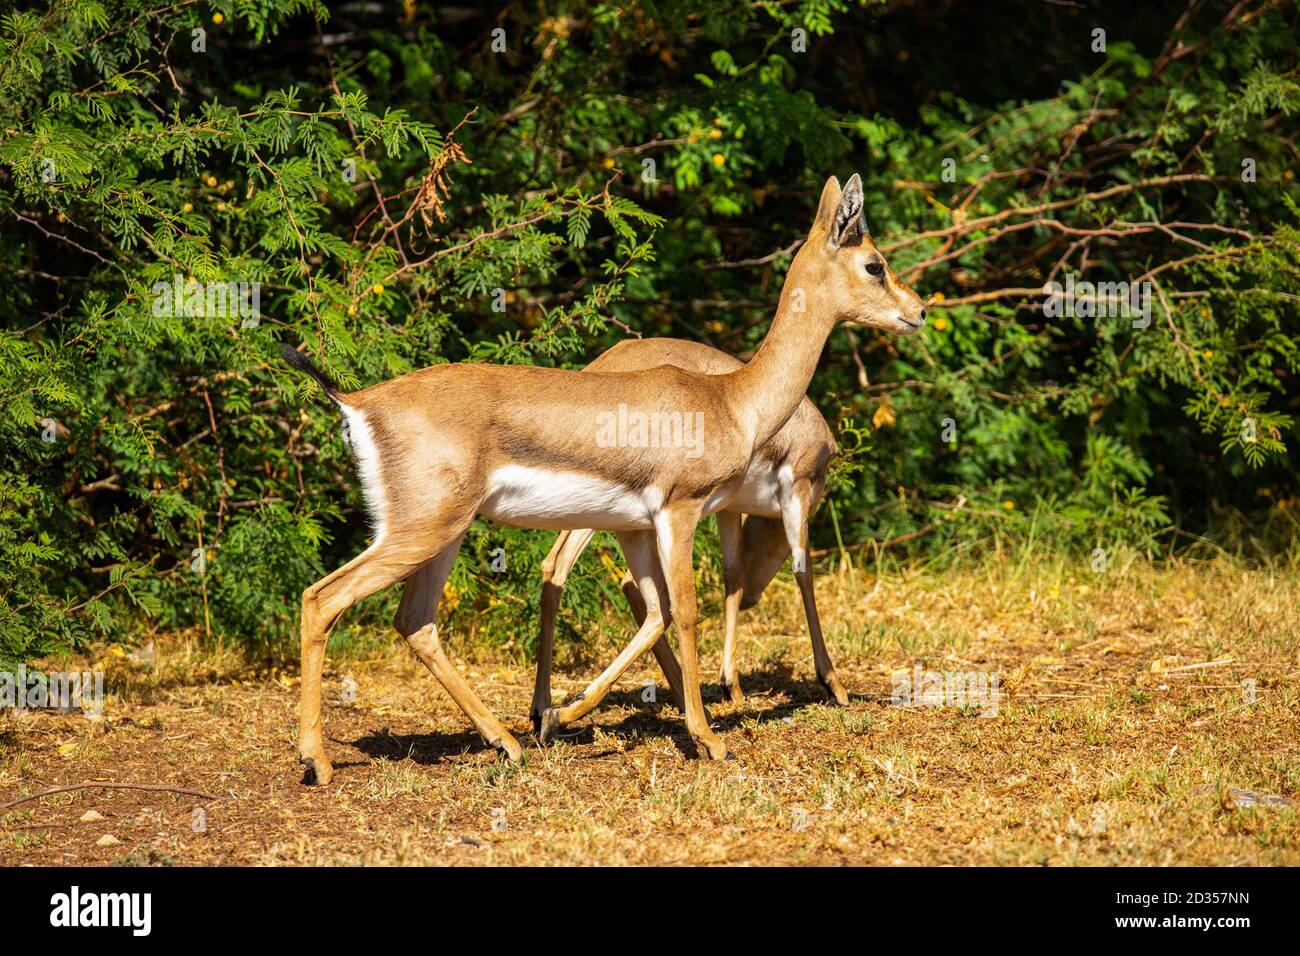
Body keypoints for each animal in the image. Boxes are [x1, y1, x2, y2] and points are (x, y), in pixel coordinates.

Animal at [527, 337, 844, 738]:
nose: (755, 599)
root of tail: (604, 363)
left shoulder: (726, 508)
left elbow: (732, 577)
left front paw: (731, 686)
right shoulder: (795, 492)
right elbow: (804, 575)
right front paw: (833, 683)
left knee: (557, 567)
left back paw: (545, 710)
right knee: (601, 576)